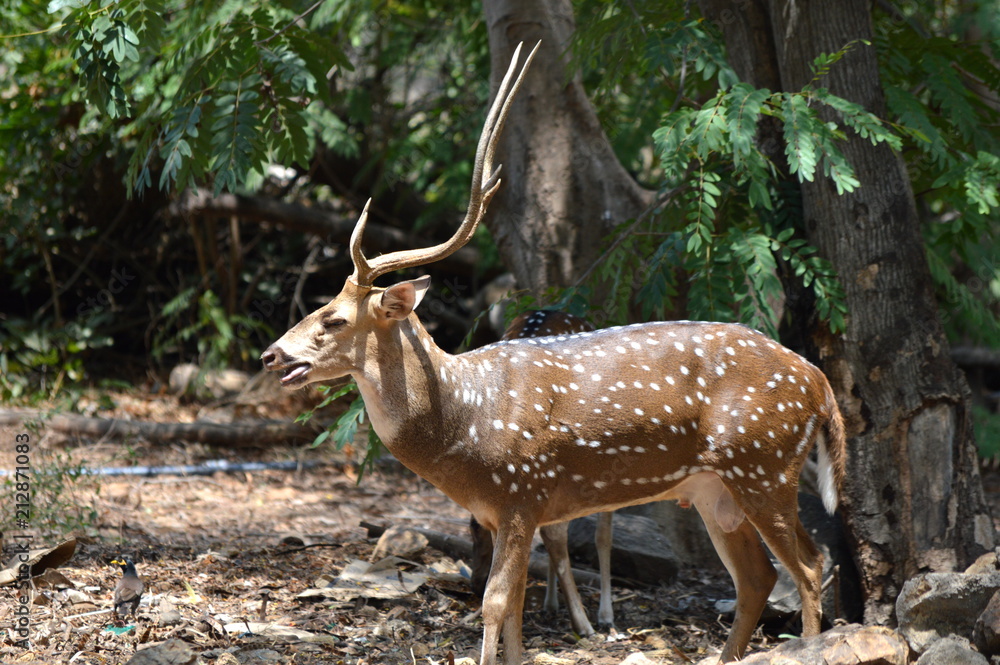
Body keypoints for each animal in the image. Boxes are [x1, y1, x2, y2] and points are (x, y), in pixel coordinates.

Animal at [470, 310, 616, 637]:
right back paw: (581, 620)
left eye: (474, 533)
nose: (473, 582)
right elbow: (598, 535)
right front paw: (601, 615)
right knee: (558, 533)